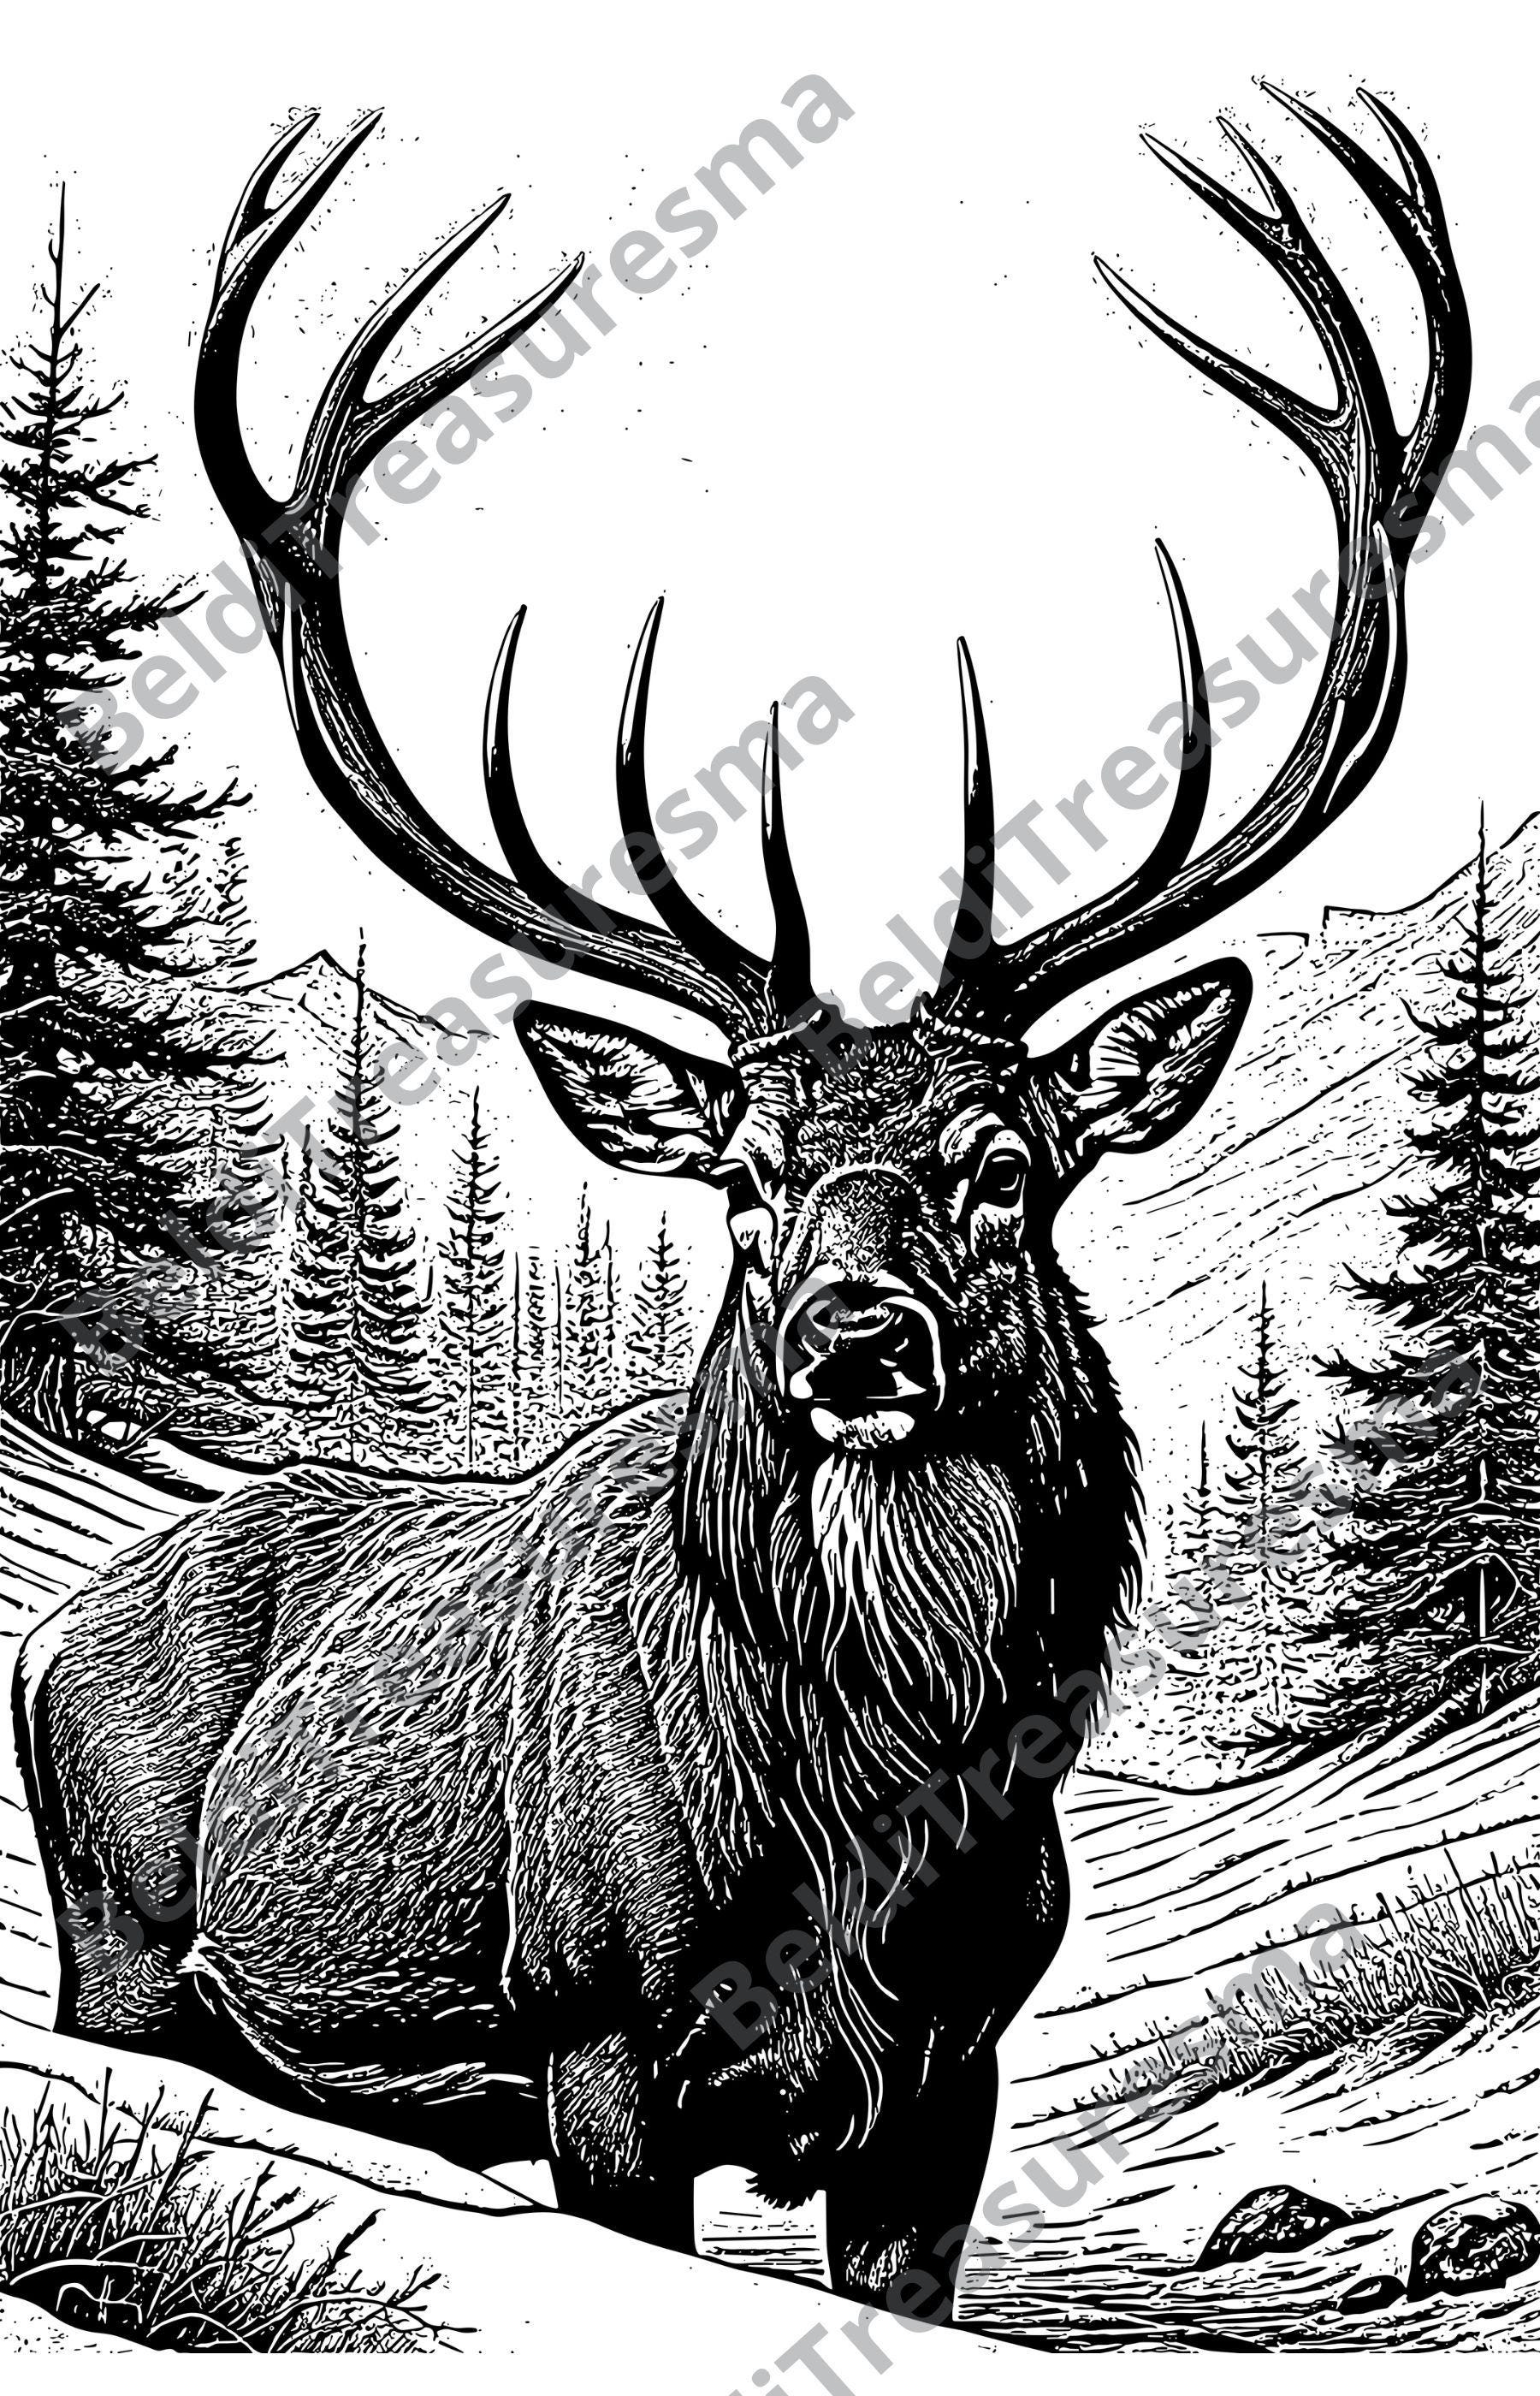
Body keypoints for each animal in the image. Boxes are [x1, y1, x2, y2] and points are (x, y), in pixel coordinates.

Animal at [15, 92, 1467, 2316]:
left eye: (1007, 1171)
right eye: (747, 1184)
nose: (858, 1340)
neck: (867, 1840)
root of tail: (53, 1634)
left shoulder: (955, 2071)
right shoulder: (590, 2026)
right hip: (115, 1942)